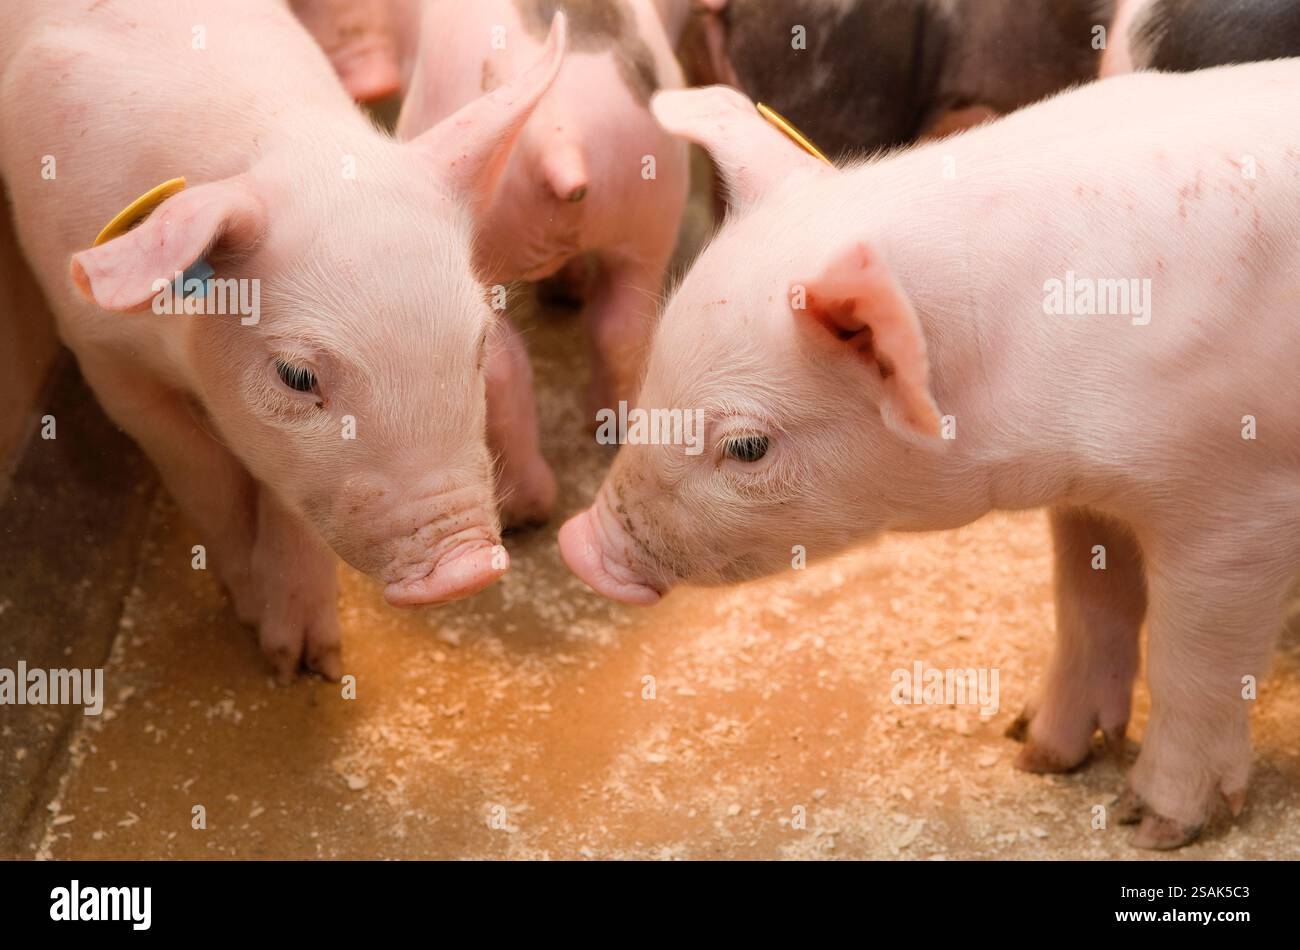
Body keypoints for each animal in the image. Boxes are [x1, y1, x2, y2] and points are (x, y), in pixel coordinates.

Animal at [0, 0, 570, 680]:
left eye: (477, 344)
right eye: (295, 376)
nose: (467, 568)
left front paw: (310, 660)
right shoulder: (101, 355)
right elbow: (204, 474)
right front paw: (267, 640)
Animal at [395, 0, 692, 518]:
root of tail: (558, 132)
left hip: (477, 248)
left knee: (500, 365)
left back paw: (525, 511)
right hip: (653, 205)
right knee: (622, 325)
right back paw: (609, 426)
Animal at [560, 67, 1300, 848]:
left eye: (747, 447)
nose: (578, 543)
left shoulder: (1237, 508)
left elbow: (1192, 665)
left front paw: (1152, 827)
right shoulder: (1090, 499)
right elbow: (1086, 605)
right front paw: (1035, 750)